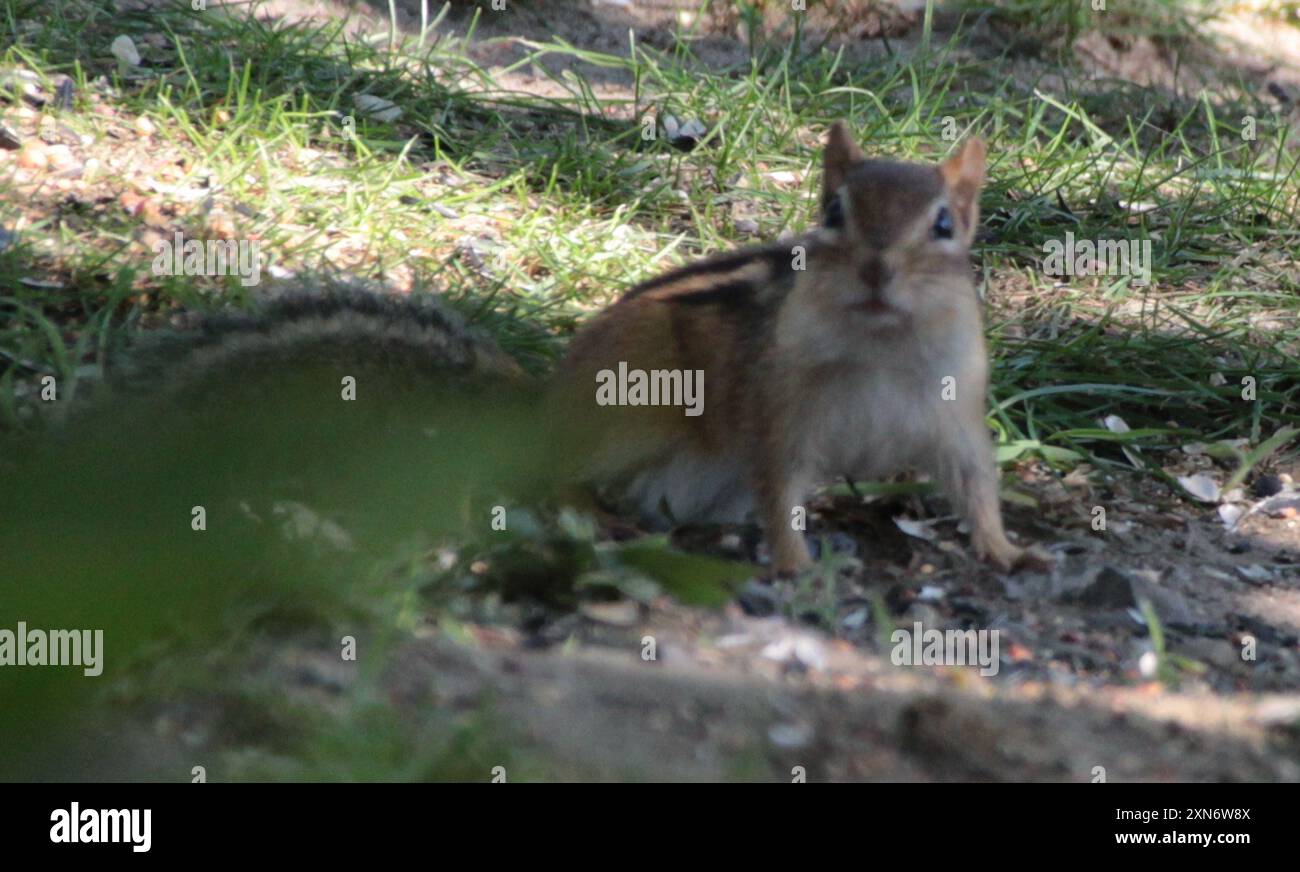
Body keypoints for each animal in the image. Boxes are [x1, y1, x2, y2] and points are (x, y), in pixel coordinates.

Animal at [90, 122, 1047, 576]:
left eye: (945, 225)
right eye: (834, 211)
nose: (880, 269)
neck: (882, 342)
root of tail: (537, 409)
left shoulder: (954, 412)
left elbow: (975, 482)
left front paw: (1005, 550)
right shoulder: (779, 414)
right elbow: (780, 488)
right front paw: (793, 562)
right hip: (636, 411)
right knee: (557, 477)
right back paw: (597, 511)